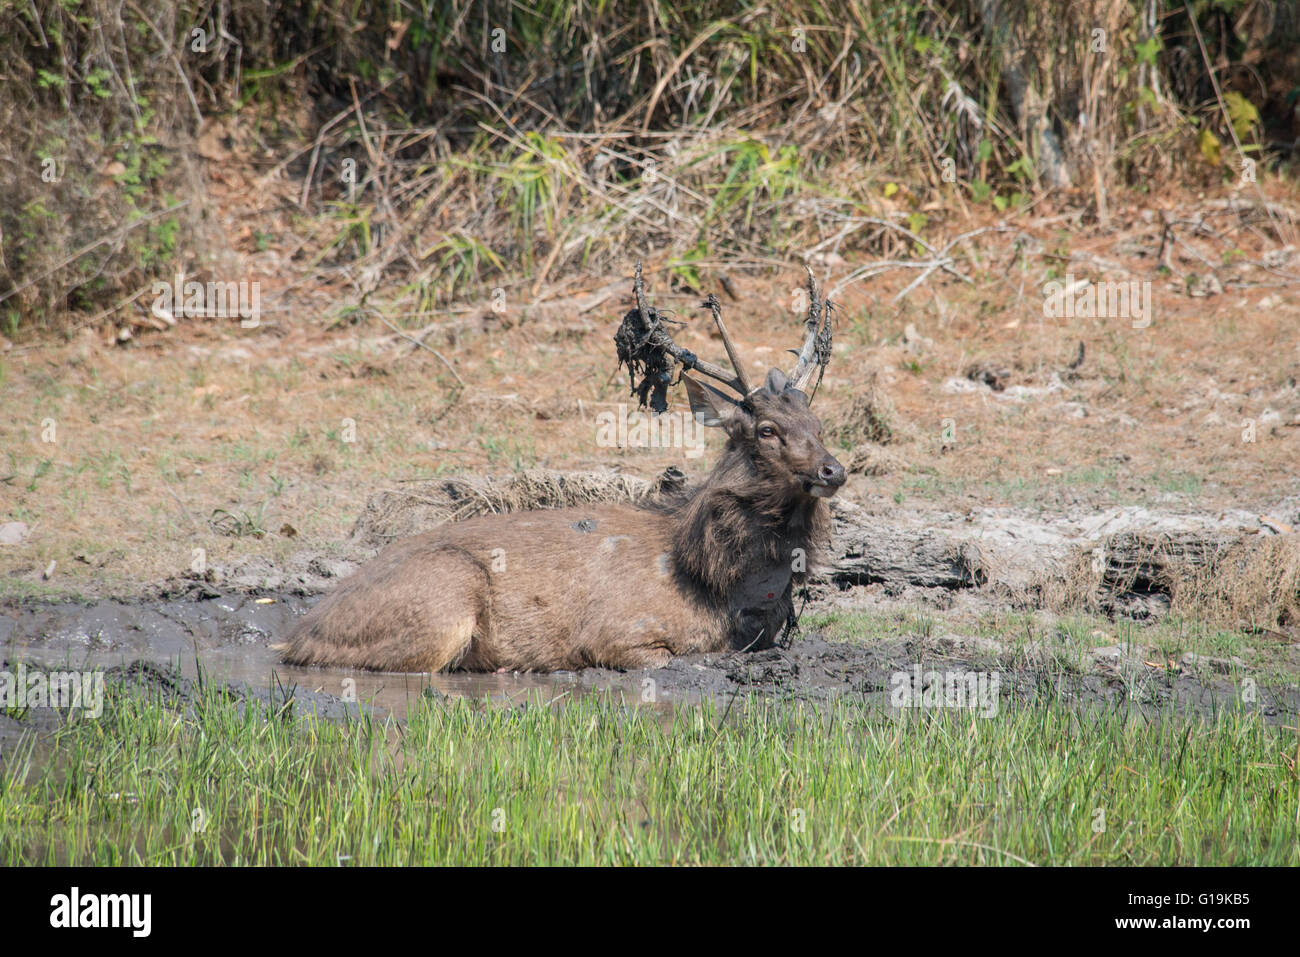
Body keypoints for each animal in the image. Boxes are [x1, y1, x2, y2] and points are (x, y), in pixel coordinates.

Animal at [280, 265, 844, 673]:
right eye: (766, 430)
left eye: (818, 422)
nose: (832, 470)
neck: (717, 590)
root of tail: (298, 635)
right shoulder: (619, 633)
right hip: (441, 604)